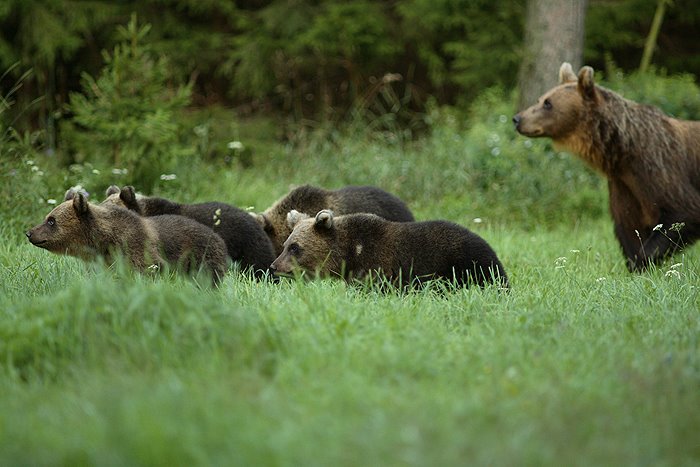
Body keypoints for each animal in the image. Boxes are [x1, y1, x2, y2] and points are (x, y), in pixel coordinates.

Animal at [27, 192, 228, 286]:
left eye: (51, 220)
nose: (29, 232)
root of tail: (217, 236)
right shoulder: (100, 264)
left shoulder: (136, 247)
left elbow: (150, 269)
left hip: (201, 259)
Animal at [513, 62, 700, 271]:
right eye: (540, 99)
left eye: (548, 103)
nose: (517, 119)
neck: (624, 152)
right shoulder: (624, 185)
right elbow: (629, 227)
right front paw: (635, 265)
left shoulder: (658, 168)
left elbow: (683, 211)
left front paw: (643, 260)